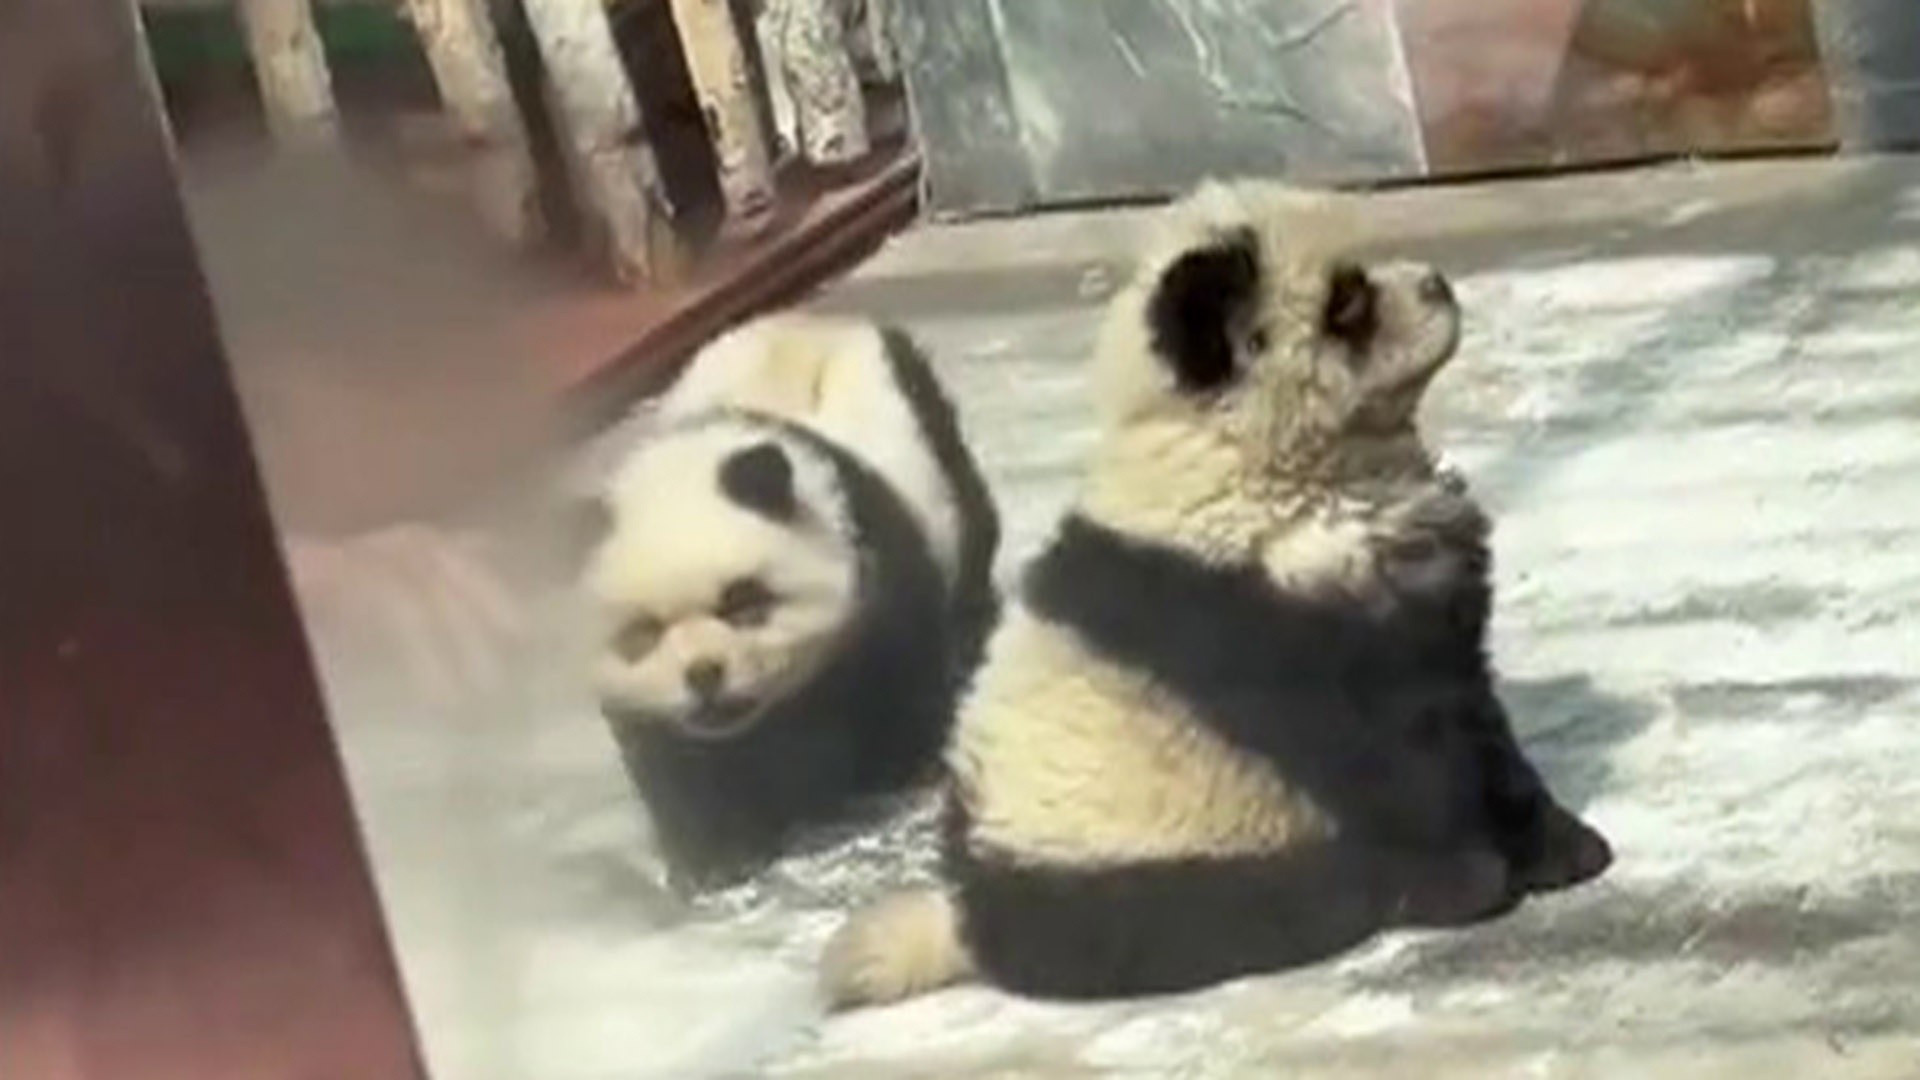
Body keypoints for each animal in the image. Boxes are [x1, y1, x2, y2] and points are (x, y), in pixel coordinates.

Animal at [582, 313, 1000, 893]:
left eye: (743, 601)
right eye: (643, 632)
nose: (705, 676)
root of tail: (816, 323)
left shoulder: (877, 570)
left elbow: (903, 677)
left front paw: (905, 771)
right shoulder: (656, 714)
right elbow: (673, 768)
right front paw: (715, 860)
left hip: (931, 434)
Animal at [819, 180, 1612, 1005]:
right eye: (1347, 303)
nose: (1436, 284)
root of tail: (969, 925)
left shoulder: (1428, 625)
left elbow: (1481, 724)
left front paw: (1566, 845)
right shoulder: (1268, 627)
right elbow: (1393, 766)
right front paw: (1487, 868)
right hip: (1145, 871)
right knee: (1275, 900)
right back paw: (1436, 888)